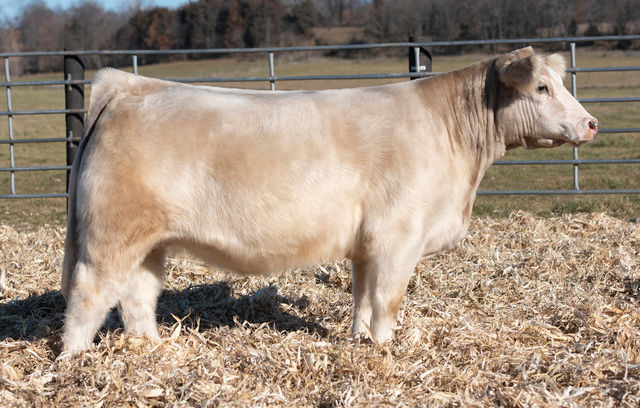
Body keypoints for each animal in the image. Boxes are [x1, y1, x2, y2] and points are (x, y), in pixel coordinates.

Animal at [61, 47, 599, 352]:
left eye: (561, 83)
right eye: (542, 87)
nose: (591, 123)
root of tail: (130, 85)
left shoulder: (366, 244)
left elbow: (361, 295)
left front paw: (360, 340)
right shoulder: (397, 237)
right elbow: (387, 298)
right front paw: (385, 348)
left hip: (148, 240)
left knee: (137, 295)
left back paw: (149, 350)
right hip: (111, 235)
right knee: (89, 294)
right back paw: (75, 360)